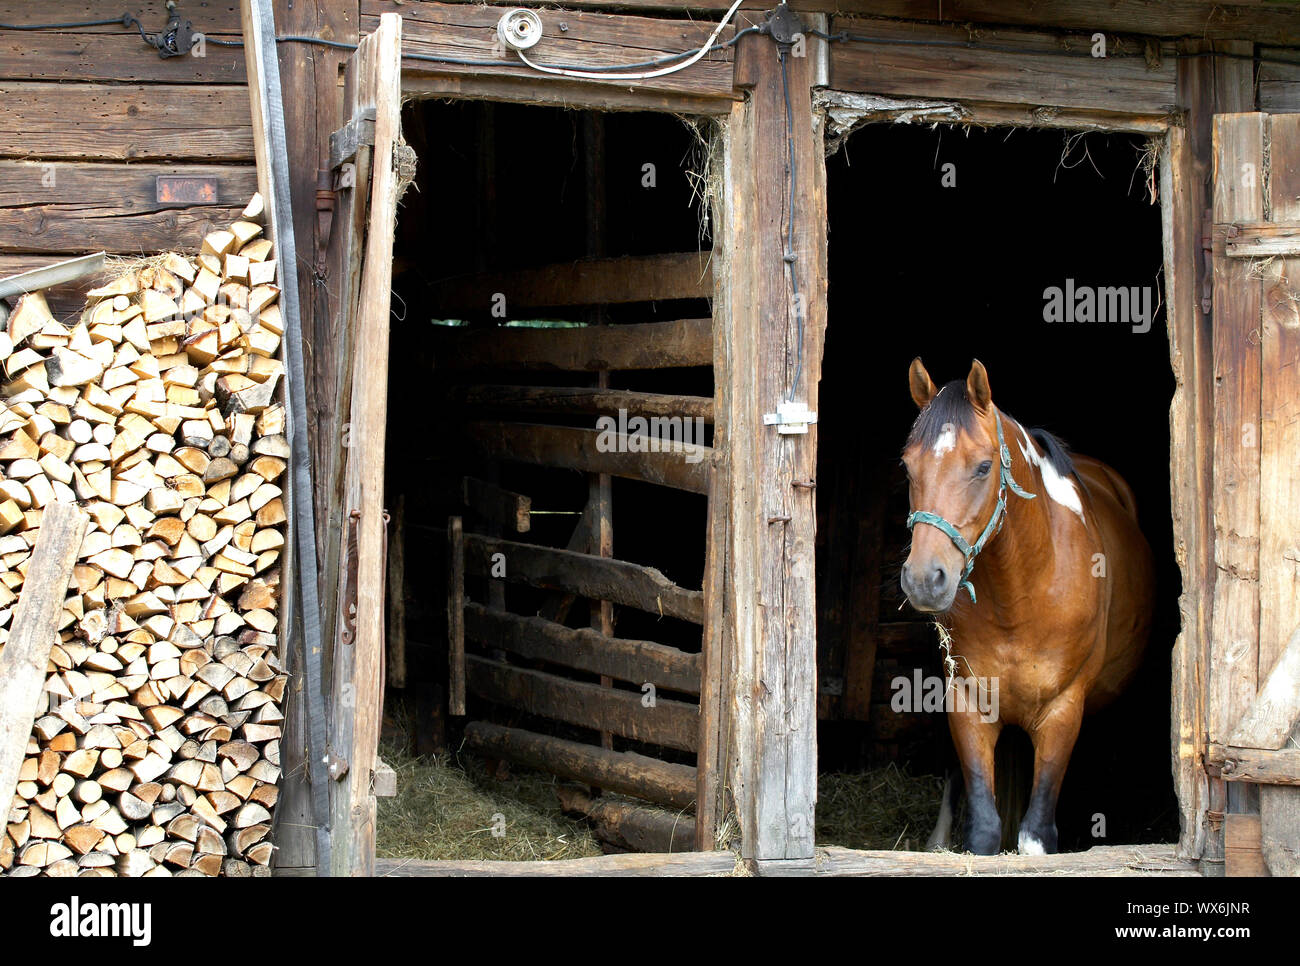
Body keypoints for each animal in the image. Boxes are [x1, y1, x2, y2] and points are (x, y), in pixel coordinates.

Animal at [900, 358, 1153, 855]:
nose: (924, 579)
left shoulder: (1062, 711)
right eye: (908, 467)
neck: (1021, 593)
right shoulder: (967, 704)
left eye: (983, 467)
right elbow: (982, 828)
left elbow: (1036, 836)